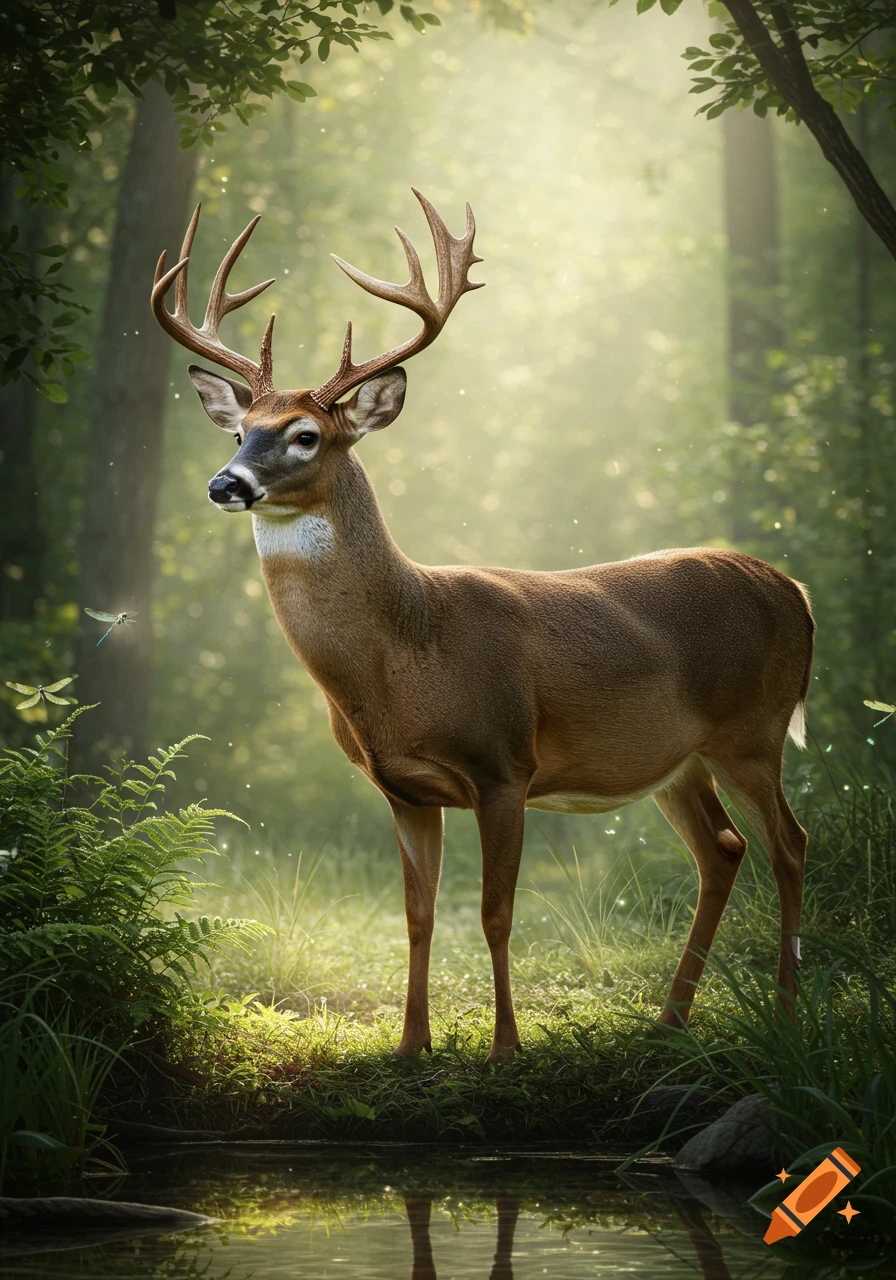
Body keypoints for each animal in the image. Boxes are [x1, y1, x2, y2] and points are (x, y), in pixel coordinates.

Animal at [151, 190, 814, 1064]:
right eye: (238, 430)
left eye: (306, 434)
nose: (225, 483)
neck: (406, 657)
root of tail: (795, 590)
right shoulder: (402, 787)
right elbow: (418, 915)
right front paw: (411, 1047)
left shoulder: (505, 764)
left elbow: (496, 913)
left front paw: (504, 1048)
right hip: (678, 760)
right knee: (724, 850)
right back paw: (670, 1022)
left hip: (753, 730)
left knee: (789, 844)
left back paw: (786, 1013)